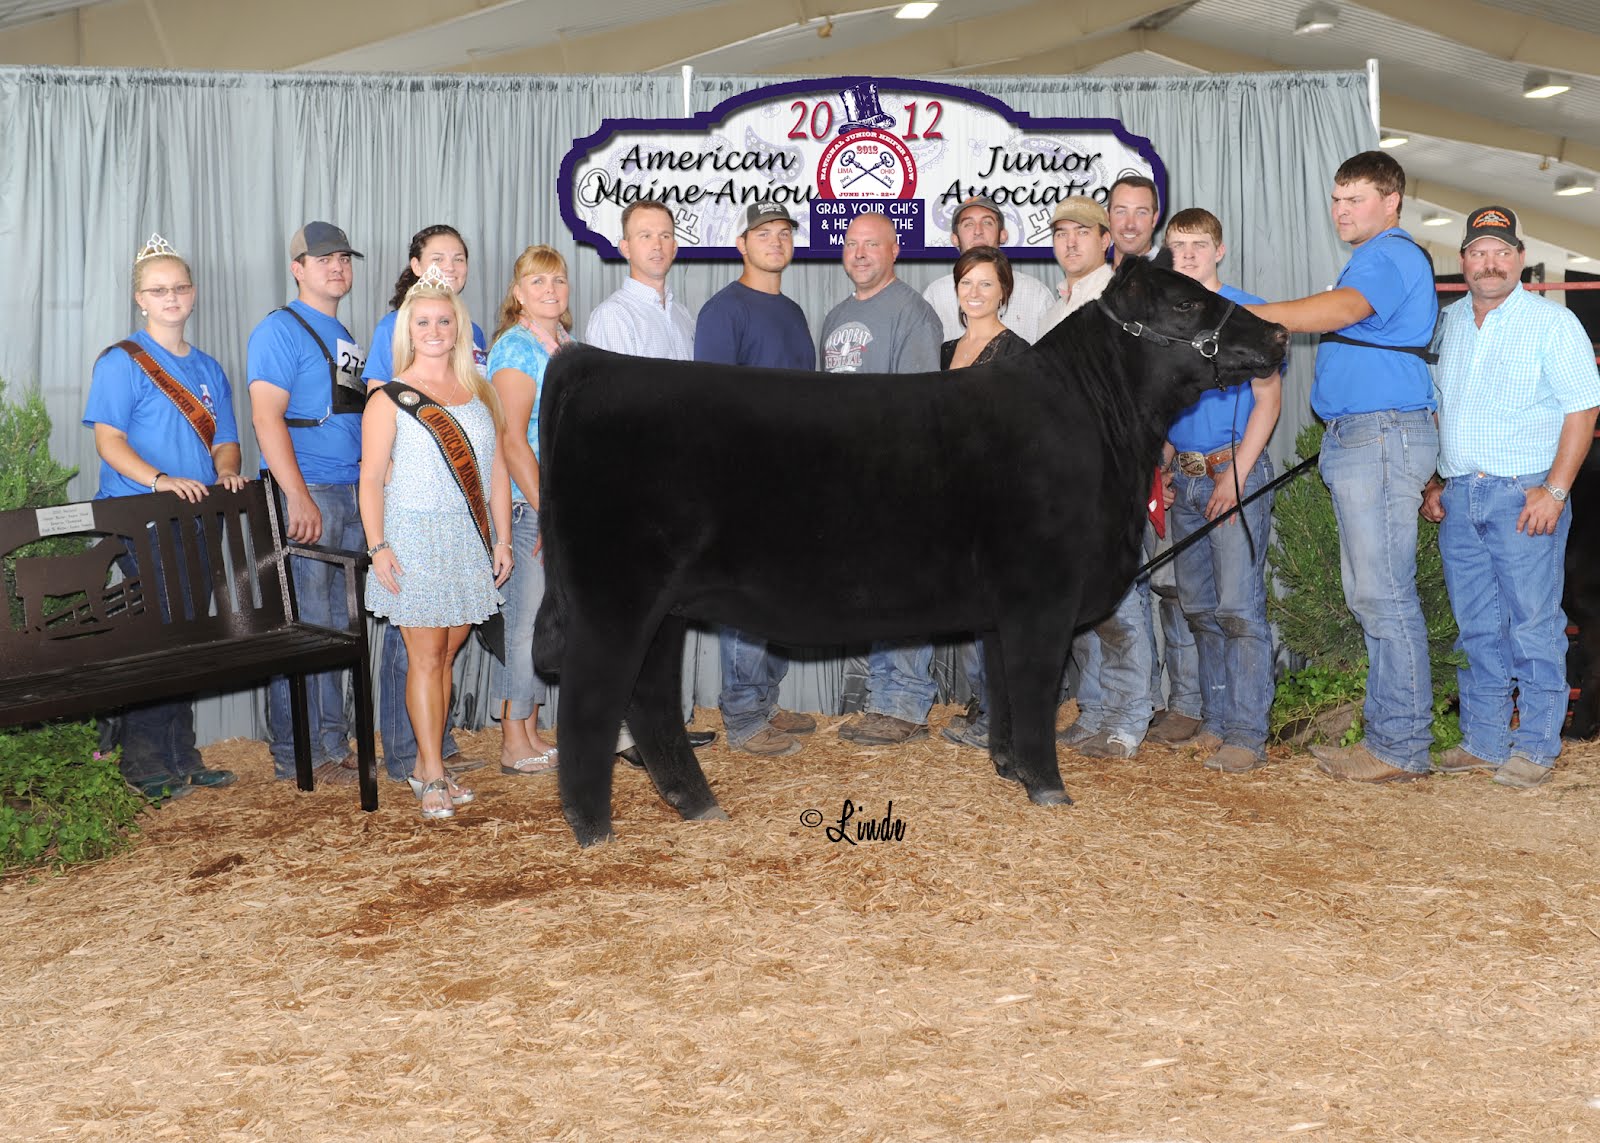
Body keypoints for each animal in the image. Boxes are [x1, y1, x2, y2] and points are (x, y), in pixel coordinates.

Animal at [535, 254, 1289, 846]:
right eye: (1187, 301)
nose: (1281, 332)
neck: (1098, 423)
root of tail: (591, 363)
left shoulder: (1004, 608)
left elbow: (1004, 687)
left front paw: (1008, 767)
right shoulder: (1042, 595)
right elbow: (1036, 690)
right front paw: (1049, 786)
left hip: (661, 607)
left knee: (650, 698)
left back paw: (697, 805)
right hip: (615, 597)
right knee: (591, 702)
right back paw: (594, 829)